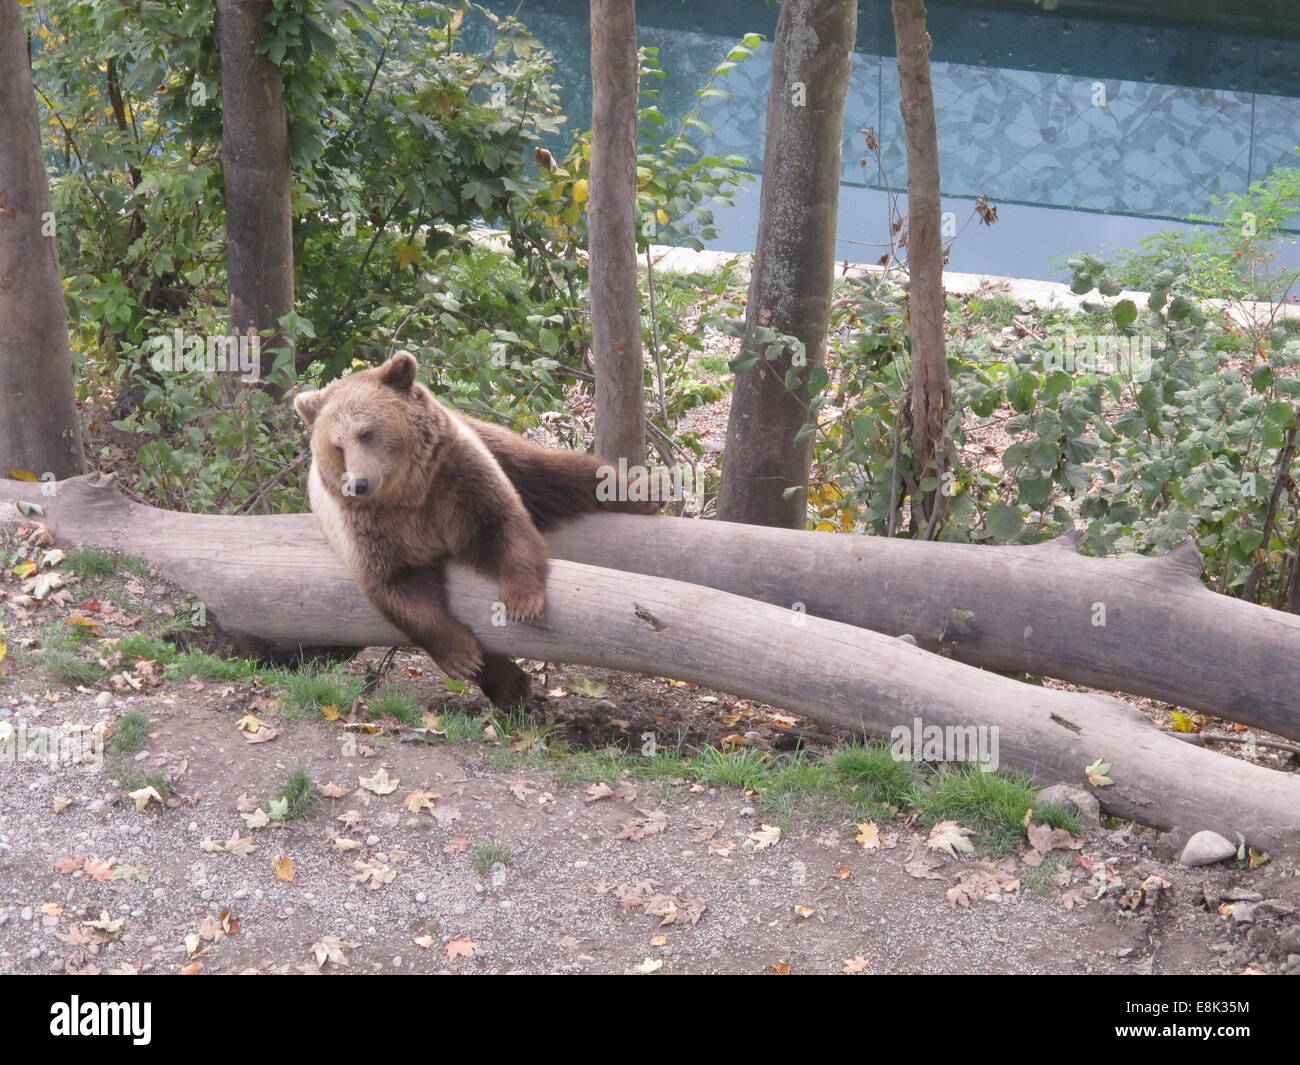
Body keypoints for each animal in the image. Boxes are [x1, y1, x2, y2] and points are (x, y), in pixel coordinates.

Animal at [293, 350, 659, 708]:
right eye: (337, 445)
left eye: (366, 433)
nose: (358, 484)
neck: (409, 492)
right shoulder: (372, 528)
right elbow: (398, 586)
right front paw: (464, 655)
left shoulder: (454, 477)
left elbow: (500, 526)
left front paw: (522, 601)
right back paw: (509, 686)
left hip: (484, 439)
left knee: (545, 472)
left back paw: (647, 491)